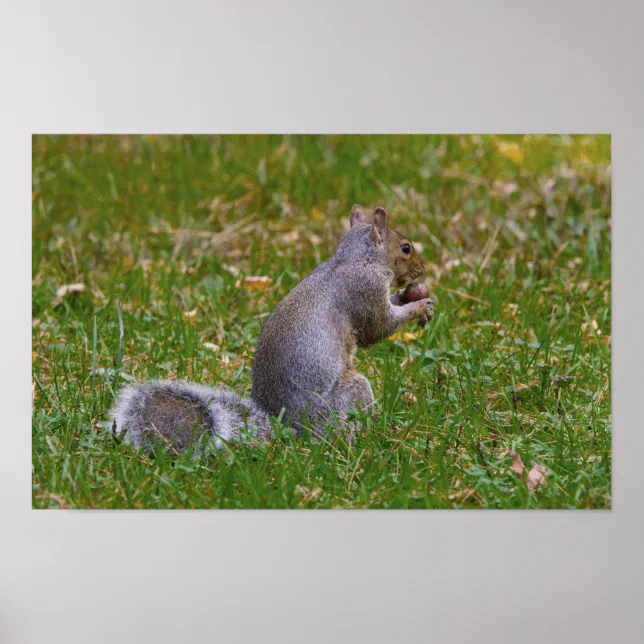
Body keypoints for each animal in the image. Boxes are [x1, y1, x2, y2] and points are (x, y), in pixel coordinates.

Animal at [110, 205, 433, 453]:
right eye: (405, 247)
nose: (422, 270)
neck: (356, 258)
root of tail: (286, 427)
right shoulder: (365, 291)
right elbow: (377, 328)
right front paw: (420, 306)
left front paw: (408, 295)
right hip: (347, 397)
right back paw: (372, 433)